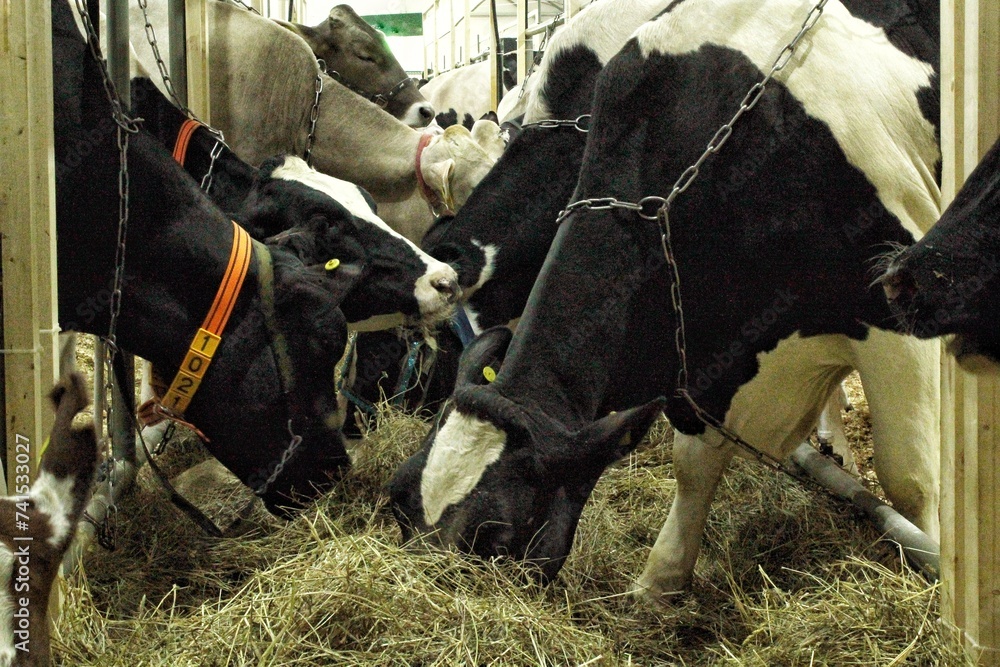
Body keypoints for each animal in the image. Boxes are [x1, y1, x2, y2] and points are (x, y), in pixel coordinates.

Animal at [389, 0, 942, 599]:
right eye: (399, 498)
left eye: (495, 537)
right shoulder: (704, 353)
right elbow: (693, 463)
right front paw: (661, 582)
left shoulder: (896, 302)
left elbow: (911, 479)